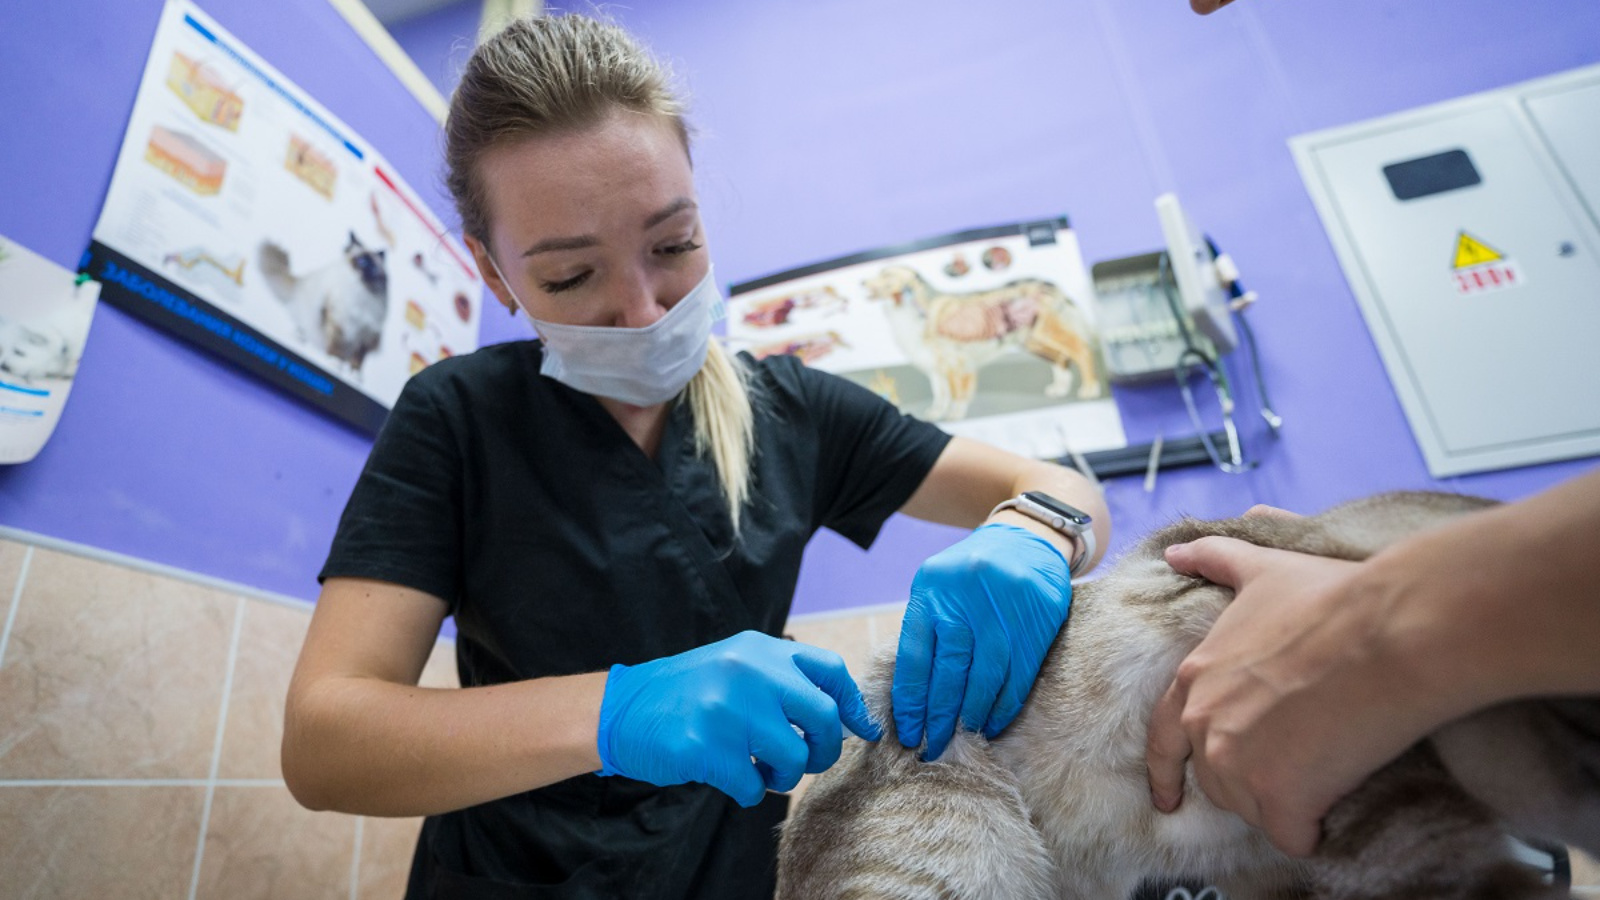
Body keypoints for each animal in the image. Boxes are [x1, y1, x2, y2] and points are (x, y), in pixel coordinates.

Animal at [258, 232, 388, 372]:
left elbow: (358, 357)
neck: (361, 296)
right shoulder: (339, 323)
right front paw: (334, 363)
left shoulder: (368, 334)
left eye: (371, 266)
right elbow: (336, 347)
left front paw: (354, 372)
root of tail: (300, 283)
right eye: (361, 262)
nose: (363, 270)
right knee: (301, 328)